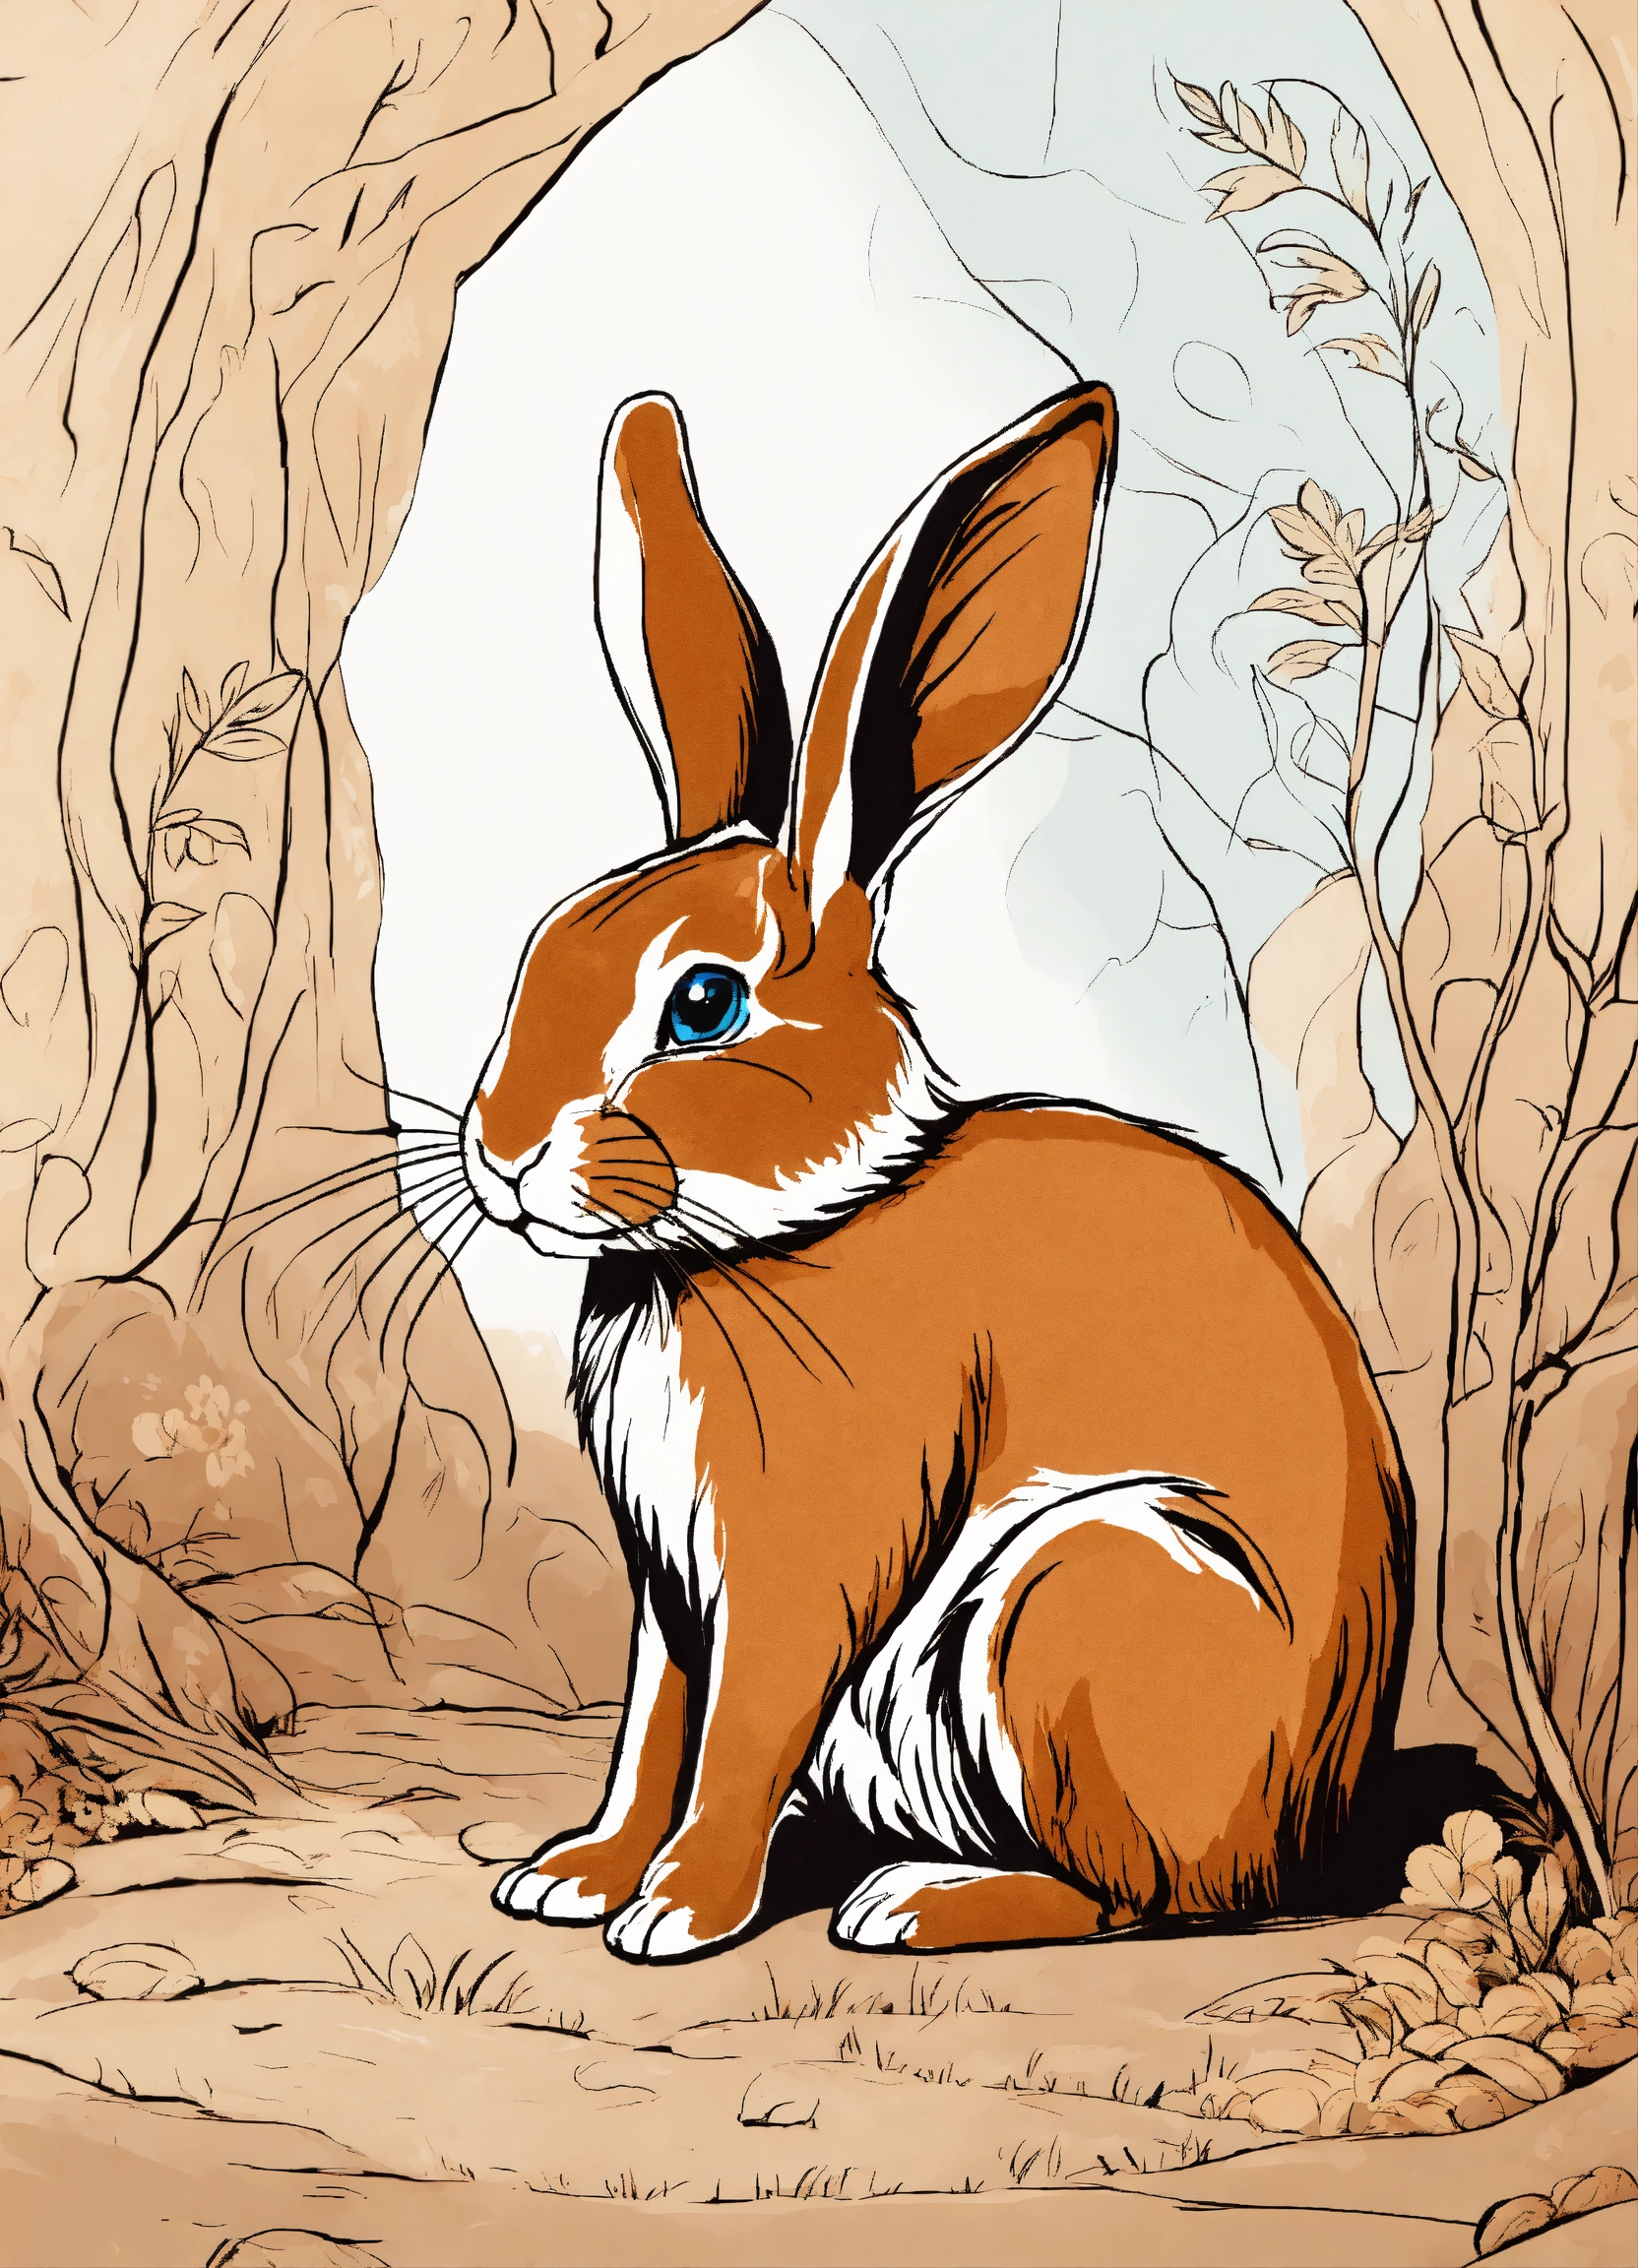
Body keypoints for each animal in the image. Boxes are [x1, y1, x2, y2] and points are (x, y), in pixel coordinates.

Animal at [460, 381, 1410, 1962]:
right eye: (540, 945)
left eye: (703, 1004)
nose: (504, 1153)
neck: (761, 1235)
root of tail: (1302, 1833)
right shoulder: (672, 1591)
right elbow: (655, 1728)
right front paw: (577, 1878)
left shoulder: (799, 1561)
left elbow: (735, 1738)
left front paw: (678, 1913)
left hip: (1074, 1611)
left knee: (1135, 1898)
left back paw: (918, 1901)